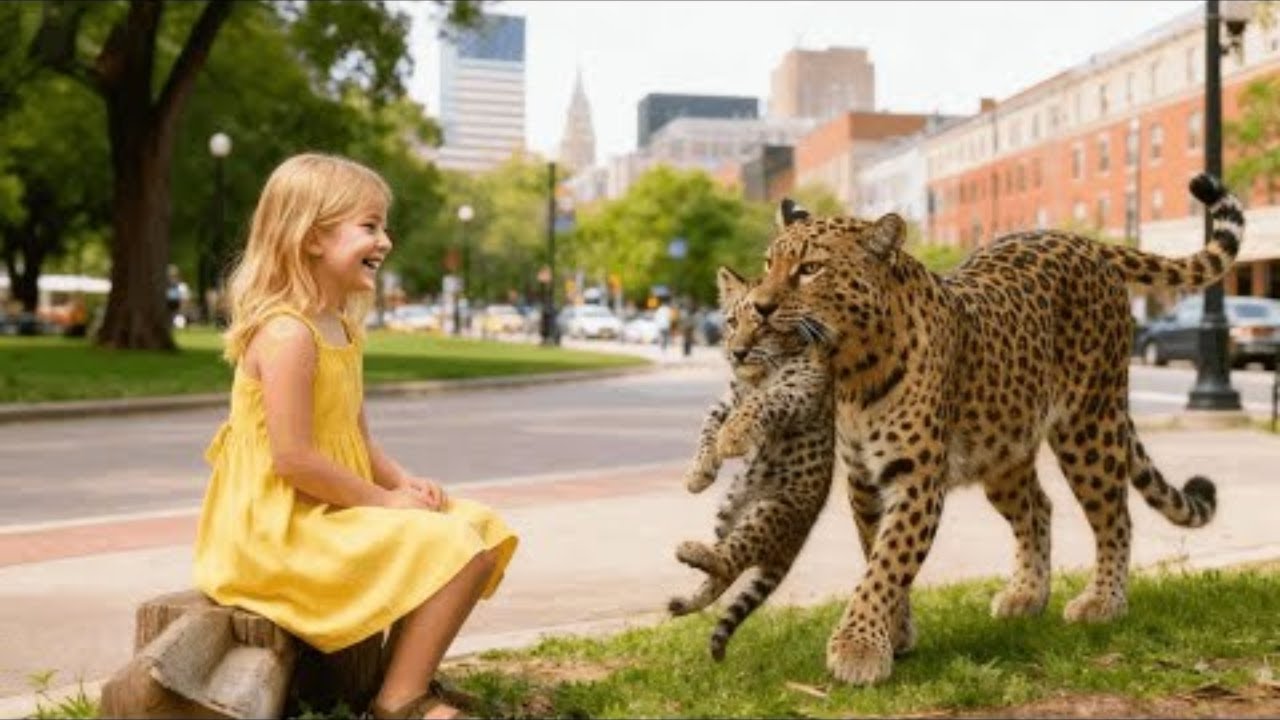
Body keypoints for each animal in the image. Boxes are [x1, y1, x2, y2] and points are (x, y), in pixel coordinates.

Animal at [669, 264, 835, 662]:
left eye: (762, 324)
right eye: (730, 322)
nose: (737, 352)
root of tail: (795, 542)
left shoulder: (798, 389)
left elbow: (760, 402)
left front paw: (731, 439)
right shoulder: (726, 399)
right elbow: (708, 426)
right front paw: (699, 473)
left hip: (772, 509)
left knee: (733, 558)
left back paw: (692, 552)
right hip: (728, 511)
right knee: (724, 573)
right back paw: (684, 599)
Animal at [740, 172, 1242, 686]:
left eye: (810, 269)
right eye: (768, 263)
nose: (758, 306)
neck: (853, 368)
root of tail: (1081, 241)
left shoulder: (915, 477)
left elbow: (887, 564)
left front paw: (858, 647)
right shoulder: (863, 481)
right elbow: (876, 556)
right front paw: (894, 634)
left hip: (1089, 424)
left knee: (1114, 515)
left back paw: (1103, 601)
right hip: (1002, 448)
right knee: (1037, 509)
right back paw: (1027, 593)